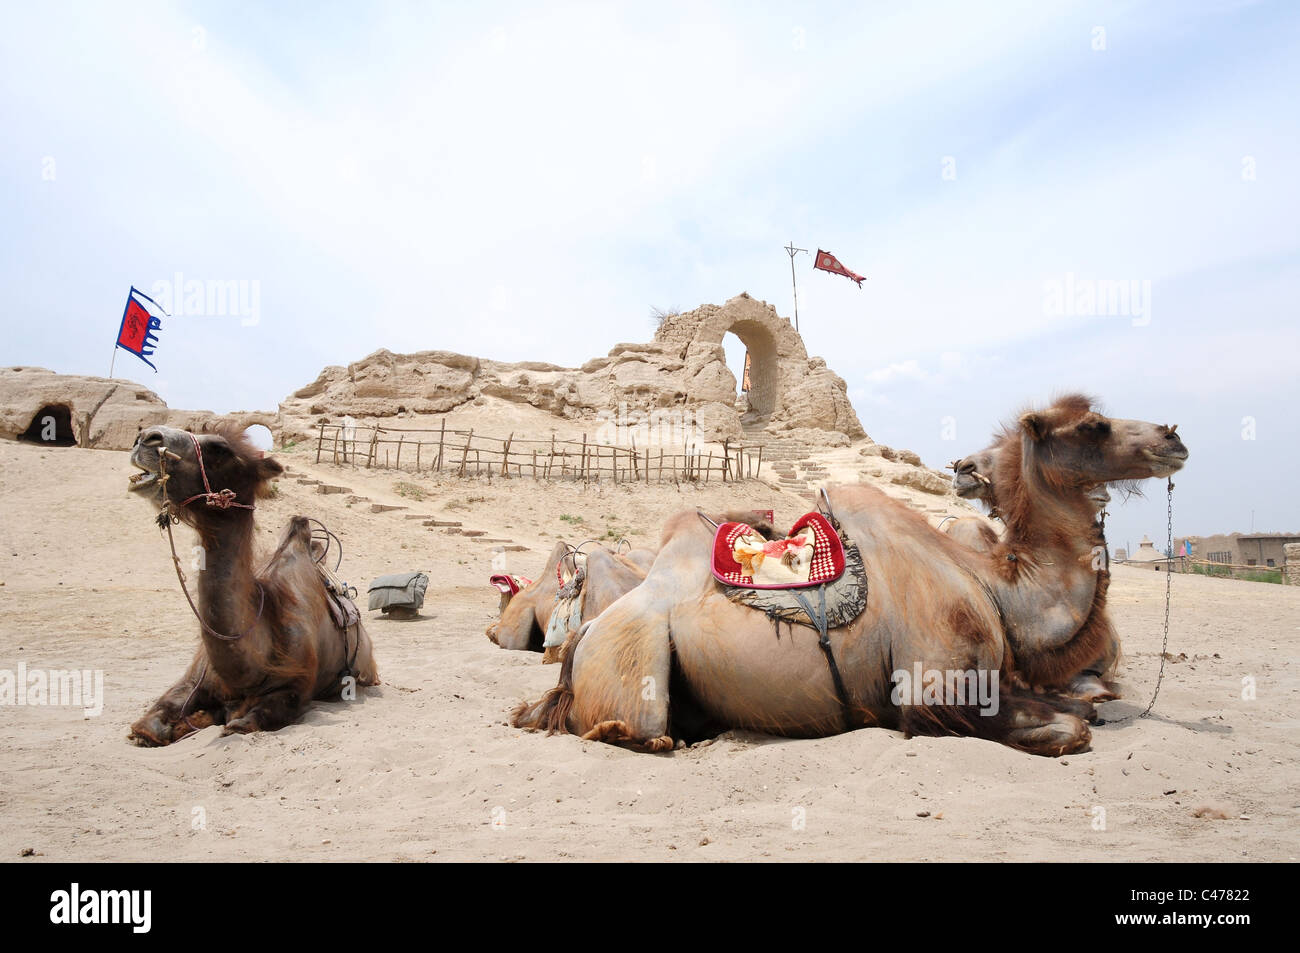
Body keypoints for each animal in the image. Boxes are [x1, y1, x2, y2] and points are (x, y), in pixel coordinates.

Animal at [126, 425, 378, 746]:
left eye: (220, 449)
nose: (146, 437)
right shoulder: (193, 680)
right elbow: (147, 725)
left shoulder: (295, 687)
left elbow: (242, 722)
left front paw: (211, 718)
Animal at [513, 396, 1186, 757]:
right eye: (1094, 425)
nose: (1173, 435)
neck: (995, 588)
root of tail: (580, 641)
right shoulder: (933, 696)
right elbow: (1073, 726)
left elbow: (1080, 707)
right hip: (631, 659)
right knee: (642, 731)